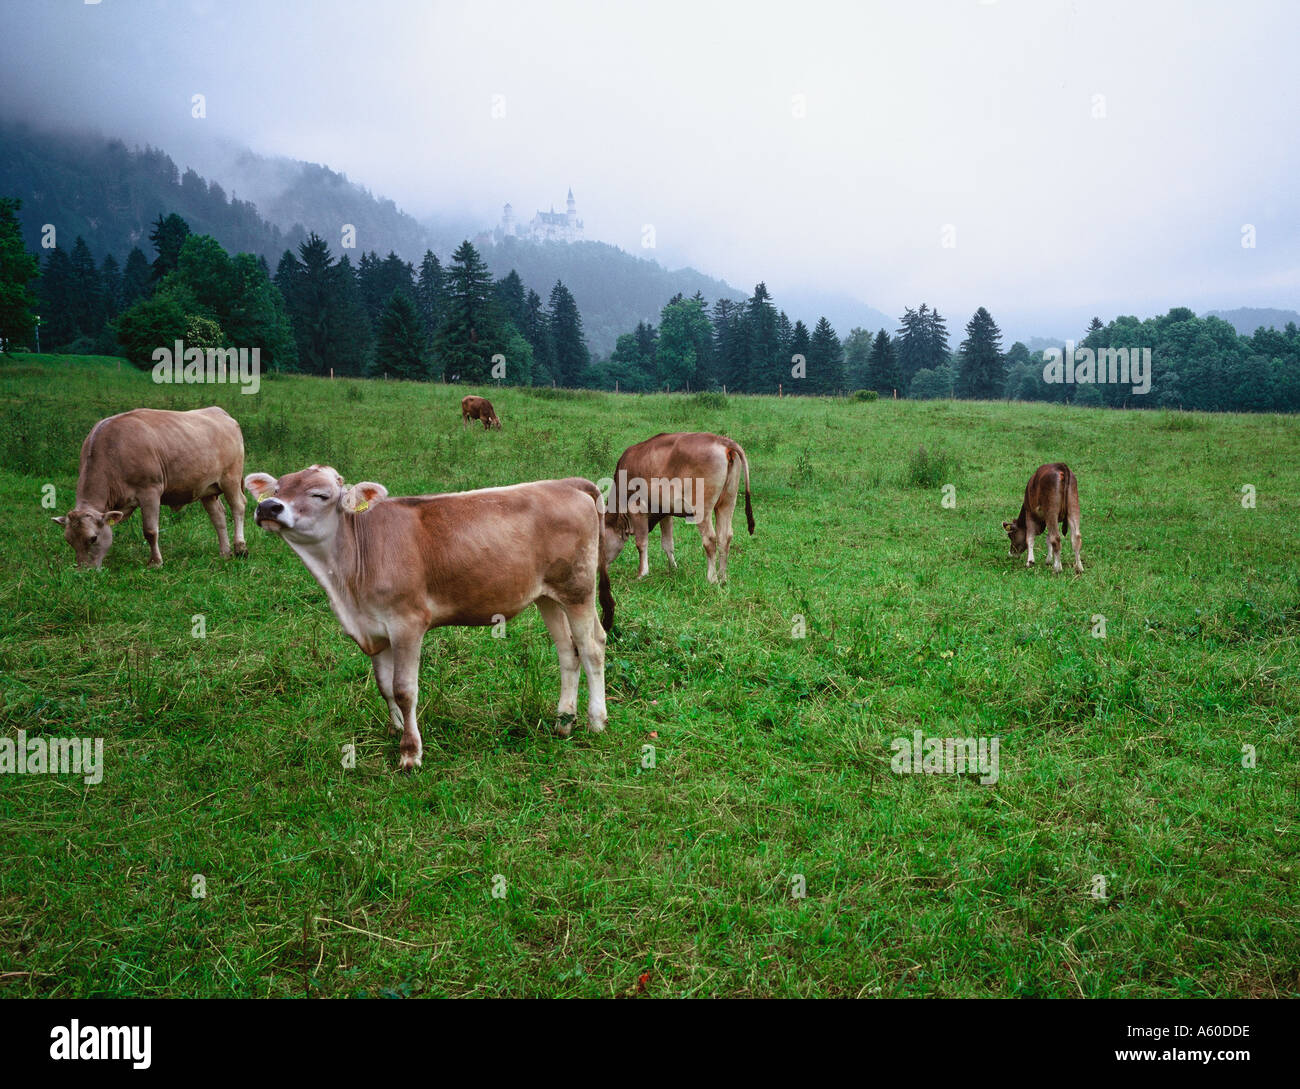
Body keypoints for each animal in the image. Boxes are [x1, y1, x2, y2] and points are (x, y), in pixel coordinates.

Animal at [53, 406, 247, 568]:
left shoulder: (150, 491)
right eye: (68, 540)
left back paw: (240, 547)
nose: (84, 571)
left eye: (93, 538)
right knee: (218, 516)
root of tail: (219, 412)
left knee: (238, 507)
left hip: (231, 478)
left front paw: (155, 562)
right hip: (206, 488)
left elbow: (150, 531)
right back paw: (225, 552)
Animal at [243, 465, 613, 770]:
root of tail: (565, 483)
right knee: (568, 650)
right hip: (547, 596)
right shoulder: (375, 630)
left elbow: (404, 689)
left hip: (578, 589)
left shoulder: (407, 623)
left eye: (320, 494)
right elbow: (384, 687)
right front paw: (396, 730)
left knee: (592, 646)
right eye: (277, 488)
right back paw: (564, 721)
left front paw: (410, 751)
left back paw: (596, 721)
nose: (268, 507)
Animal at [603, 432, 754, 584]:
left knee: (710, 539)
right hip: (727, 502)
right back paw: (723, 578)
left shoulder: (637, 507)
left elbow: (641, 543)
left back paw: (712, 578)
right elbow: (667, 543)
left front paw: (642, 574)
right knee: (725, 537)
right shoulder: (664, 511)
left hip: (702, 508)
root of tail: (723, 441)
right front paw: (673, 569)